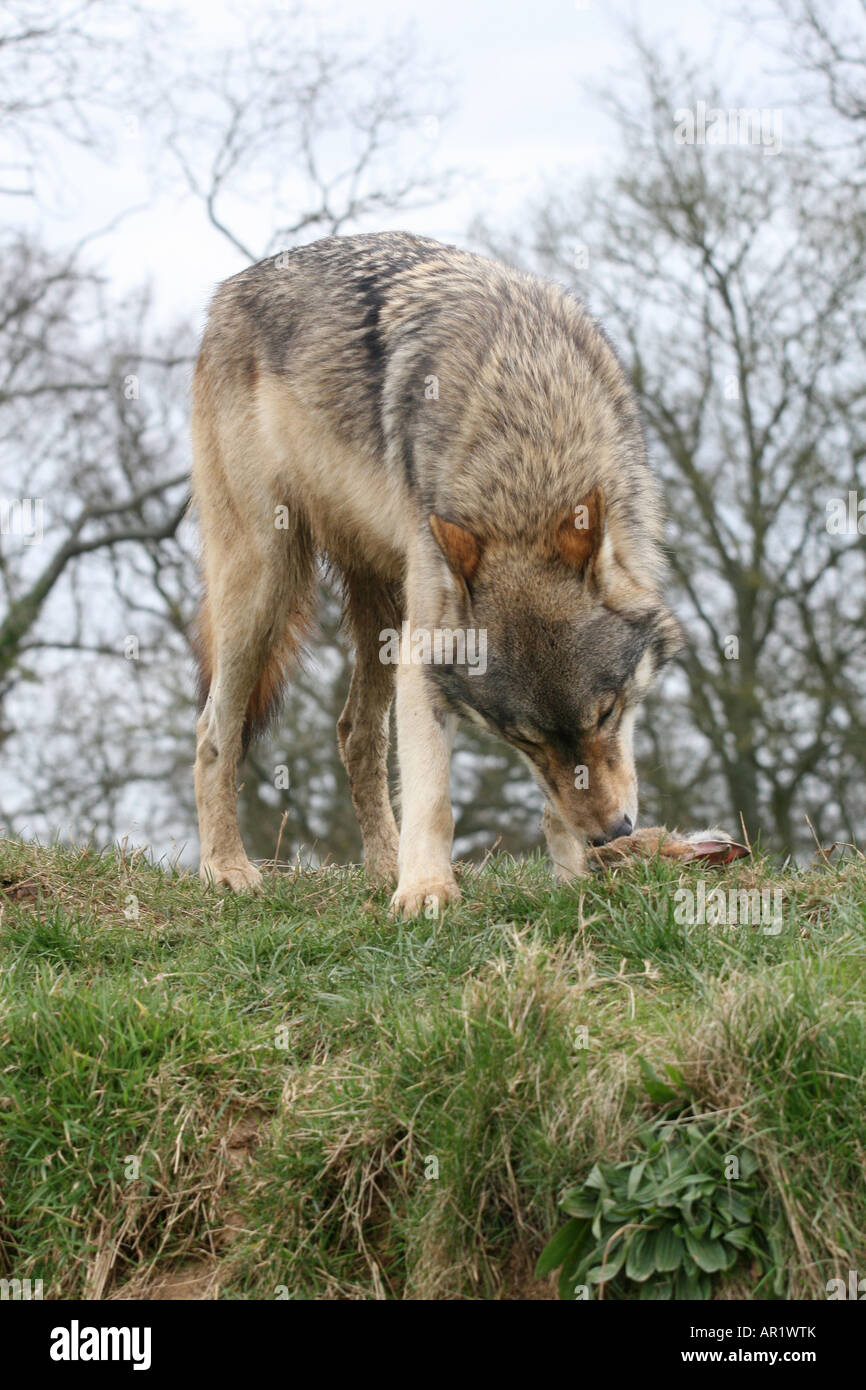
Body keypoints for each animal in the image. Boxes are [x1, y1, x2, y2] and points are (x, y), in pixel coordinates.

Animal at [190, 232, 682, 915]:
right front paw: (426, 890)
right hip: (267, 583)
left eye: (607, 714)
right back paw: (227, 867)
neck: (527, 457)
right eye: (522, 740)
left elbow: (554, 800)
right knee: (214, 732)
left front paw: (572, 876)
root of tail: (228, 291)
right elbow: (433, 794)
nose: (612, 833)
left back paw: (380, 869)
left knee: (355, 734)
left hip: (381, 606)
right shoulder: (427, 648)